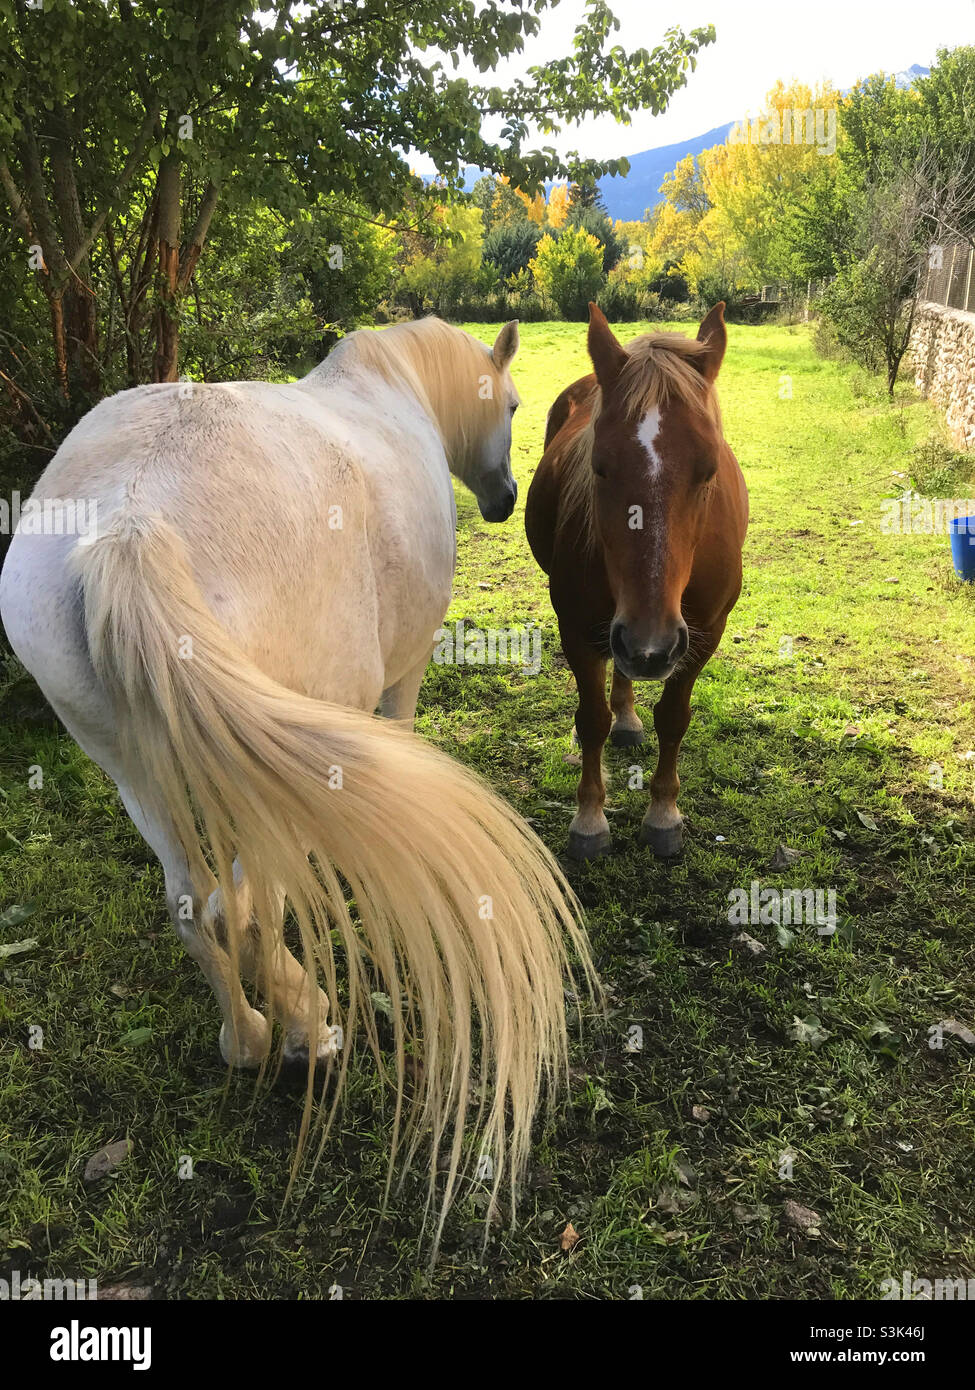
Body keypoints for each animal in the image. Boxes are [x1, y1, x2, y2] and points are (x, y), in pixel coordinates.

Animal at [0, 315, 593, 1233]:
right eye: (515, 406)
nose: (501, 499)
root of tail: (133, 525)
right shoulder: (403, 677)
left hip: (140, 775)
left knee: (194, 905)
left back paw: (245, 1039)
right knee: (246, 906)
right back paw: (306, 1032)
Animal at [525, 302, 748, 860]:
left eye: (708, 469)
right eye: (600, 467)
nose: (650, 644)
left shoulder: (704, 633)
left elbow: (674, 718)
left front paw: (664, 813)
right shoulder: (578, 629)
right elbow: (591, 720)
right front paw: (589, 820)